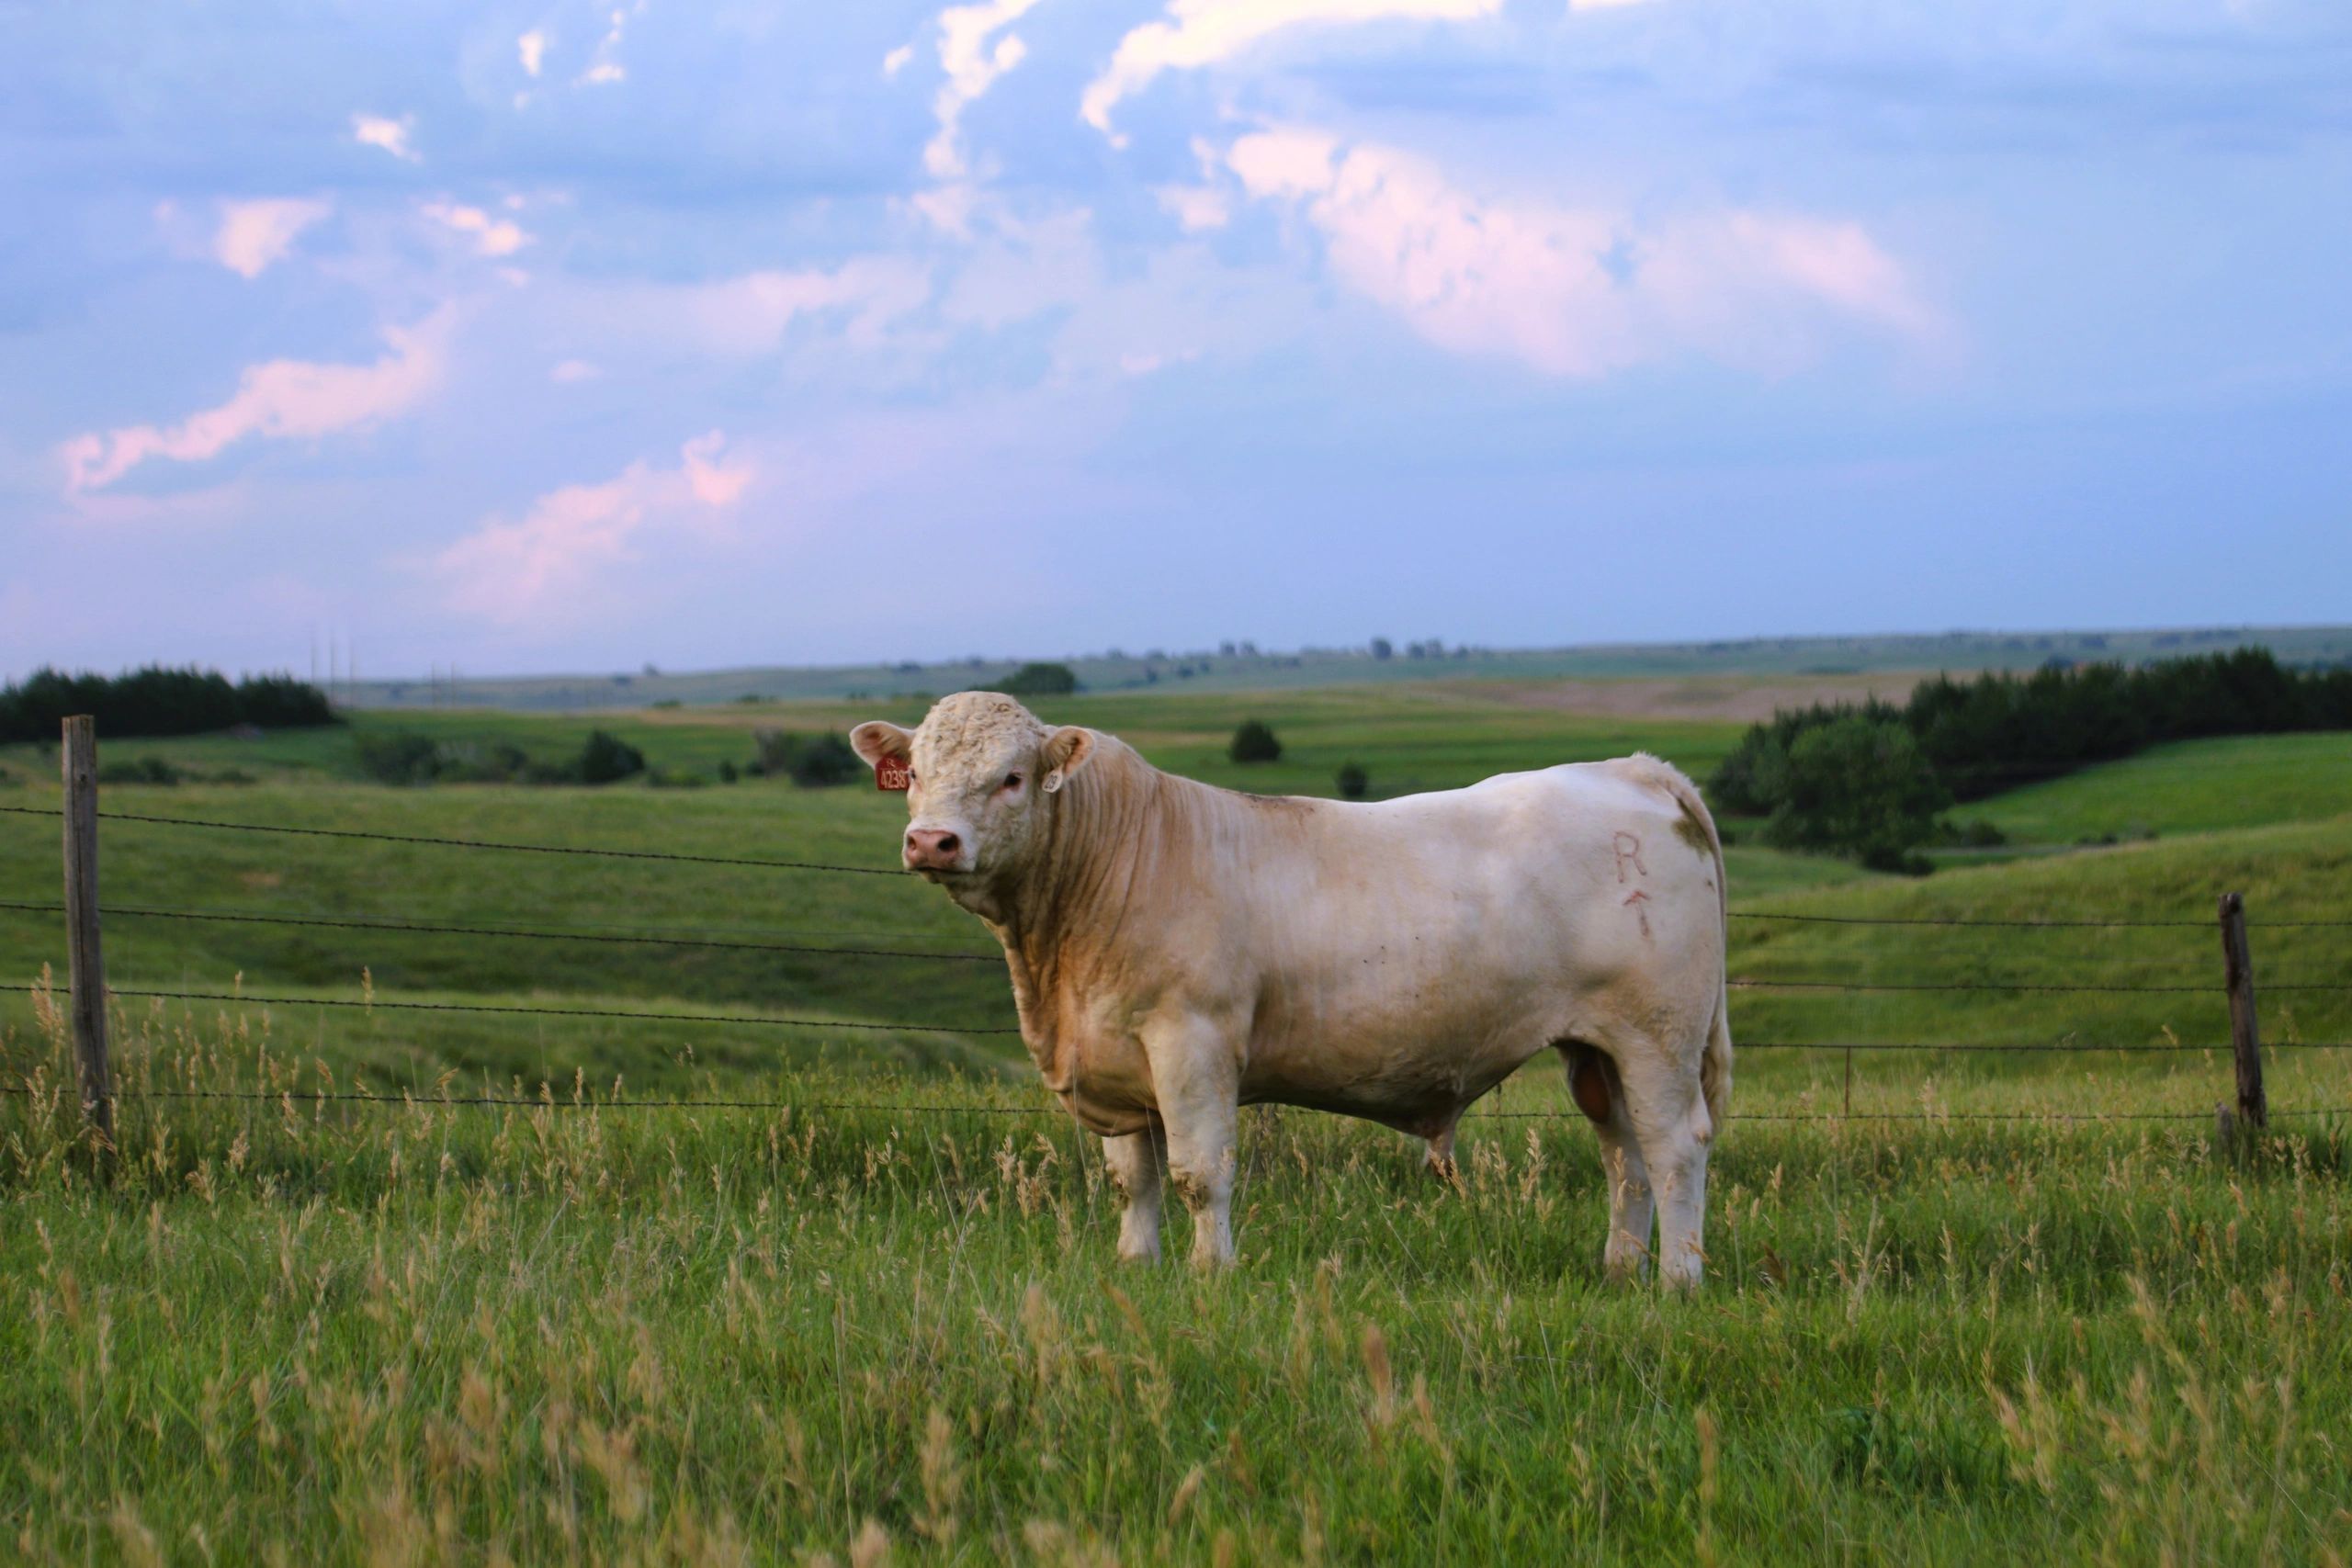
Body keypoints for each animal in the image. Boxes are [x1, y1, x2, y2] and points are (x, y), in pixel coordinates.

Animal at [848, 693, 1732, 1288]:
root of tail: (1632, 771)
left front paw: (1212, 1273)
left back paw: (1677, 1278)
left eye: (1011, 777)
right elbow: (1132, 1178)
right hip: (1596, 1048)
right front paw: (1136, 1265)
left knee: (1675, 1146)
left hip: (1657, 1030)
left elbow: (1199, 1171)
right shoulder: (1115, 1053)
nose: (931, 840)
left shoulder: (1192, 1038)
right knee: (1625, 1154)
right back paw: (1619, 1268)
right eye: (914, 773)